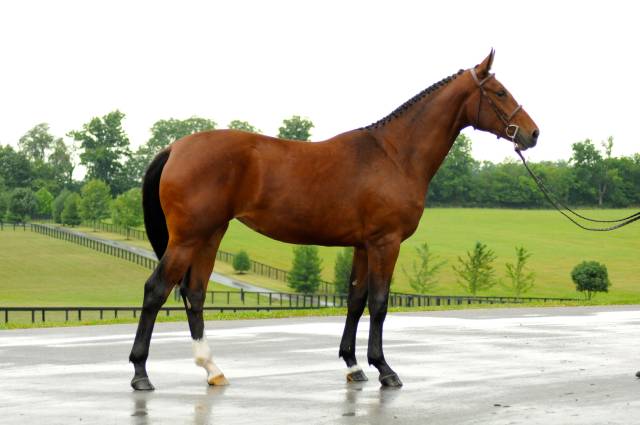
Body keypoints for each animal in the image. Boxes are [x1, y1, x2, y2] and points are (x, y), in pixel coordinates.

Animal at [129, 50, 539, 390]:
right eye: (500, 92)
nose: (533, 133)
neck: (395, 155)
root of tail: (175, 147)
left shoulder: (362, 245)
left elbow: (356, 299)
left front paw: (353, 366)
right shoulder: (385, 243)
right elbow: (379, 303)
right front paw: (385, 369)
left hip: (210, 234)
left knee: (194, 292)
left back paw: (212, 369)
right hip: (187, 237)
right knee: (155, 289)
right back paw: (141, 373)